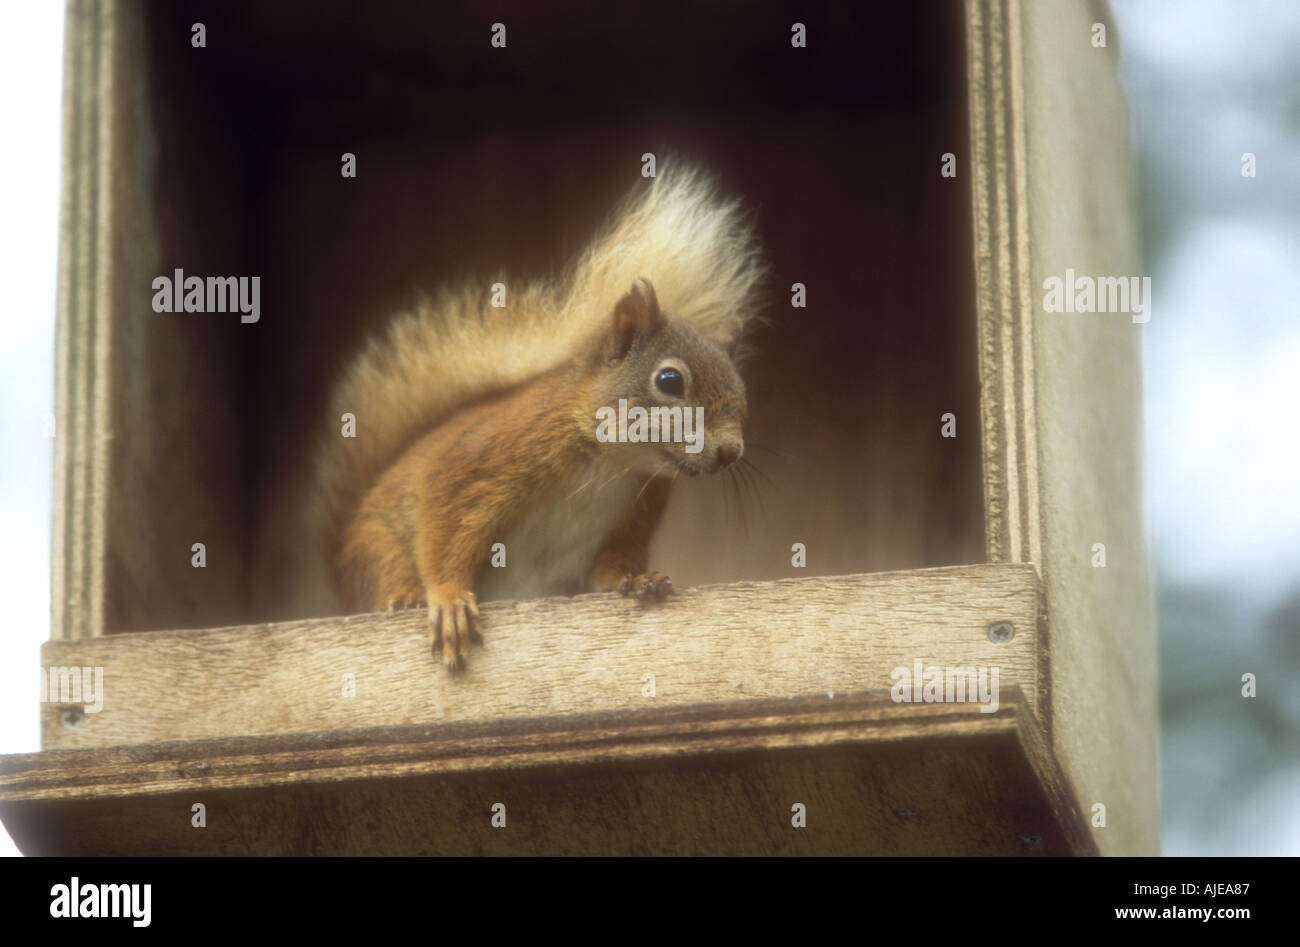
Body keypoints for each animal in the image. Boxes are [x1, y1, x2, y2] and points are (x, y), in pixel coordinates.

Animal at [315, 164, 765, 672]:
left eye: (742, 391)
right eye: (669, 380)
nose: (730, 452)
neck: (611, 462)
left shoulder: (636, 513)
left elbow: (609, 566)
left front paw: (637, 580)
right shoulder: (486, 458)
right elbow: (444, 527)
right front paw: (448, 599)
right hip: (376, 545)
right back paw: (405, 595)